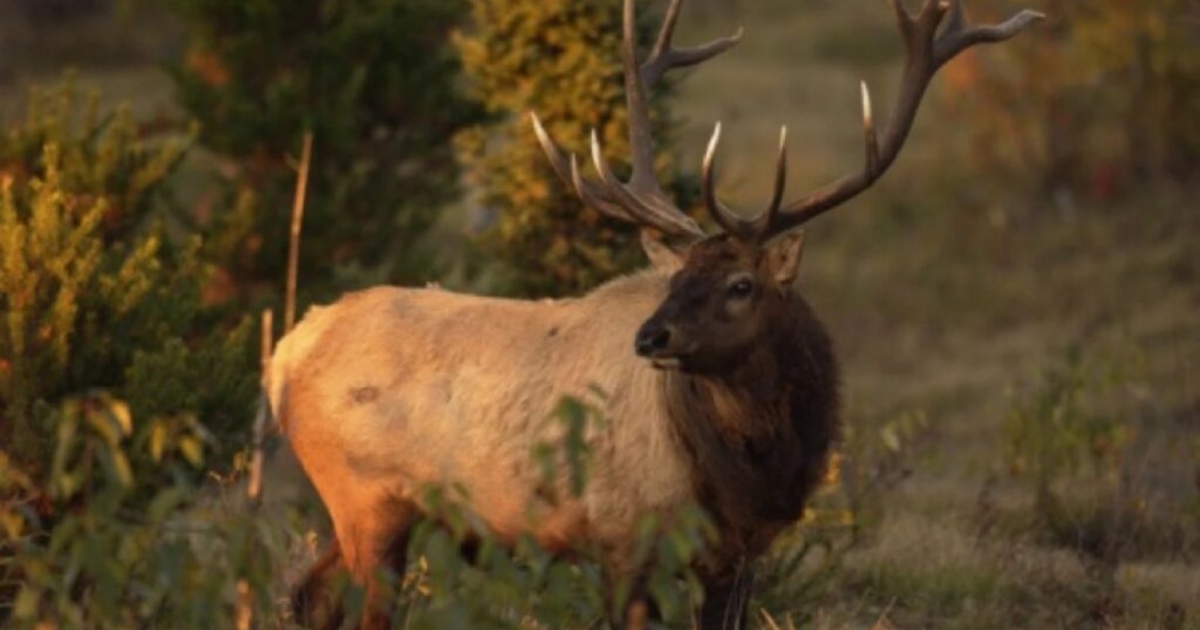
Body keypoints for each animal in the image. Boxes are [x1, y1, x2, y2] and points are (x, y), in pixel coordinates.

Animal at [268, 1, 1041, 628]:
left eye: (740, 284)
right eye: (676, 278)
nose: (651, 336)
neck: (743, 479)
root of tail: (285, 356)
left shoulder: (739, 558)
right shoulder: (621, 537)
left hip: (366, 512)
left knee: (308, 596)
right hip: (365, 498)